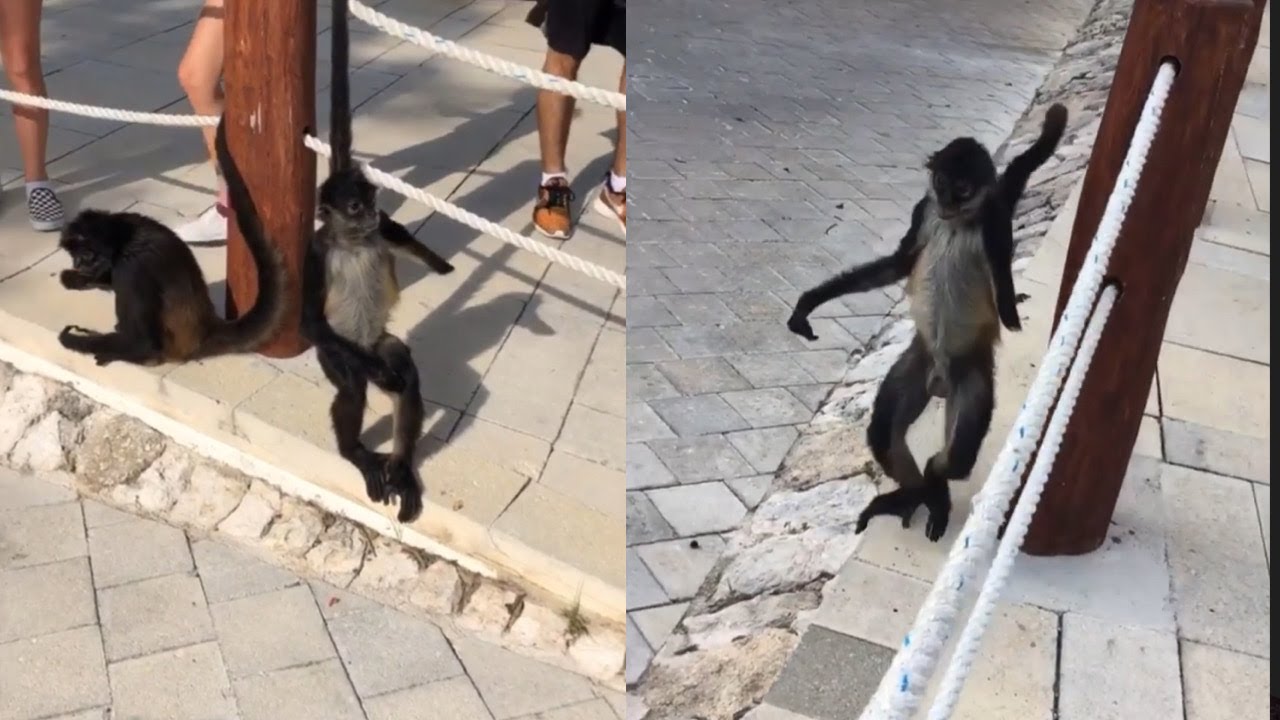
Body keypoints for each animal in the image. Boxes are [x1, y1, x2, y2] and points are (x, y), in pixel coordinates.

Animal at [56, 115, 283, 368]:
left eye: (86, 255)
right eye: (74, 256)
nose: (77, 264)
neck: (125, 236)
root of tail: (207, 329)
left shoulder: (132, 267)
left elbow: (145, 343)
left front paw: (71, 338)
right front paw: (73, 278)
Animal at [302, 0, 455, 524]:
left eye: (371, 201)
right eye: (354, 206)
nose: (369, 212)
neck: (352, 243)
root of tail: (366, 344)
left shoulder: (379, 230)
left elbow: (401, 236)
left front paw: (441, 265)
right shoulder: (316, 251)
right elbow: (309, 321)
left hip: (379, 342)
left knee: (403, 370)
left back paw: (401, 467)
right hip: (342, 351)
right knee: (354, 384)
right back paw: (358, 453)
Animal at [787, 103, 1068, 542]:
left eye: (963, 188)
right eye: (940, 182)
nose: (947, 200)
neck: (955, 222)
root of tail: (939, 380)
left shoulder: (995, 222)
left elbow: (1003, 292)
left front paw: (1017, 312)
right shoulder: (924, 210)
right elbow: (898, 264)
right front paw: (810, 302)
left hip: (970, 376)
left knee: (955, 458)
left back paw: (933, 485)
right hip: (917, 362)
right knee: (884, 433)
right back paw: (914, 494)